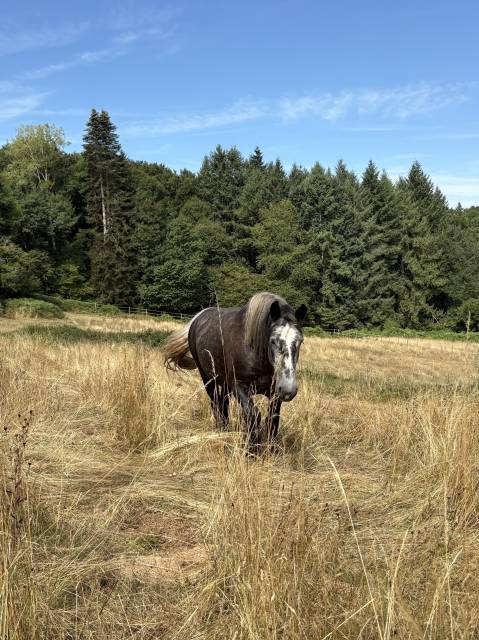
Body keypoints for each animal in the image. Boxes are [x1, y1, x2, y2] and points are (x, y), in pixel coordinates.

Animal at [163, 292, 307, 445]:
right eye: (273, 340)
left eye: (300, 341)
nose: (288, 390)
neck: (254, 351)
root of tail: (198, 318)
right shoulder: (239, 387)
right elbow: (253, 415)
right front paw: (252, 448)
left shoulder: (274, 393)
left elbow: (272, 421)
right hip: (208, 378)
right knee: (215, 403)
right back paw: (220, 429)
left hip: (225, 383)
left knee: (223, 404)